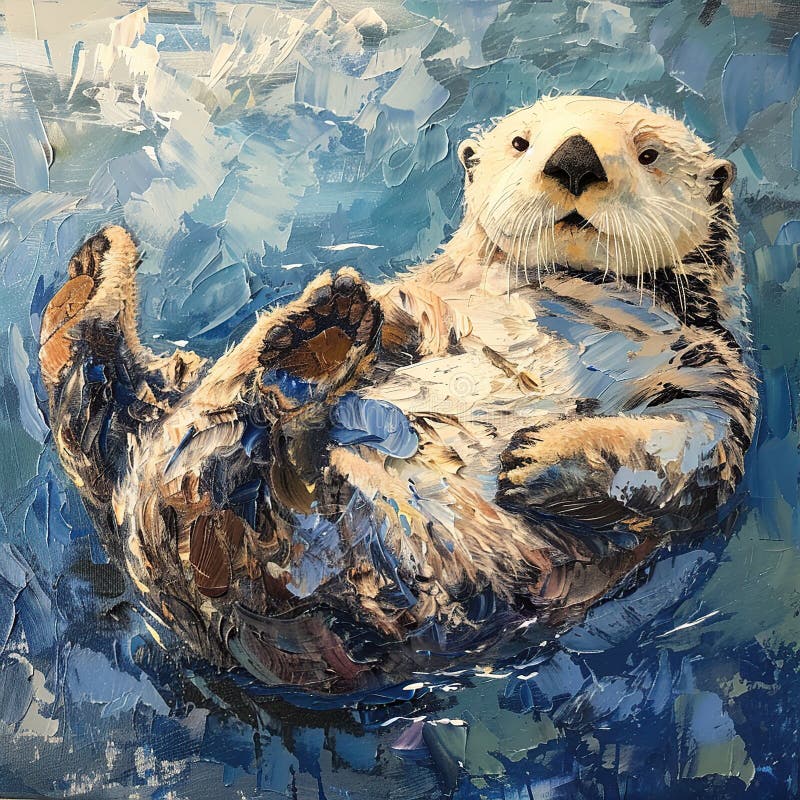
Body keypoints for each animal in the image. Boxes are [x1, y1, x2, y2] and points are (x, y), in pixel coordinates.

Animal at [39, 96, 757, 694]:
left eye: (649, 153)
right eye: (522, 142)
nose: (574, 158)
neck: (565, 294)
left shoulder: (715, 379)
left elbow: (684, 453)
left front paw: (535, 457)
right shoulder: (434, 301)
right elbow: (405, 318)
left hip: (340, 582)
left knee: (223, 488)